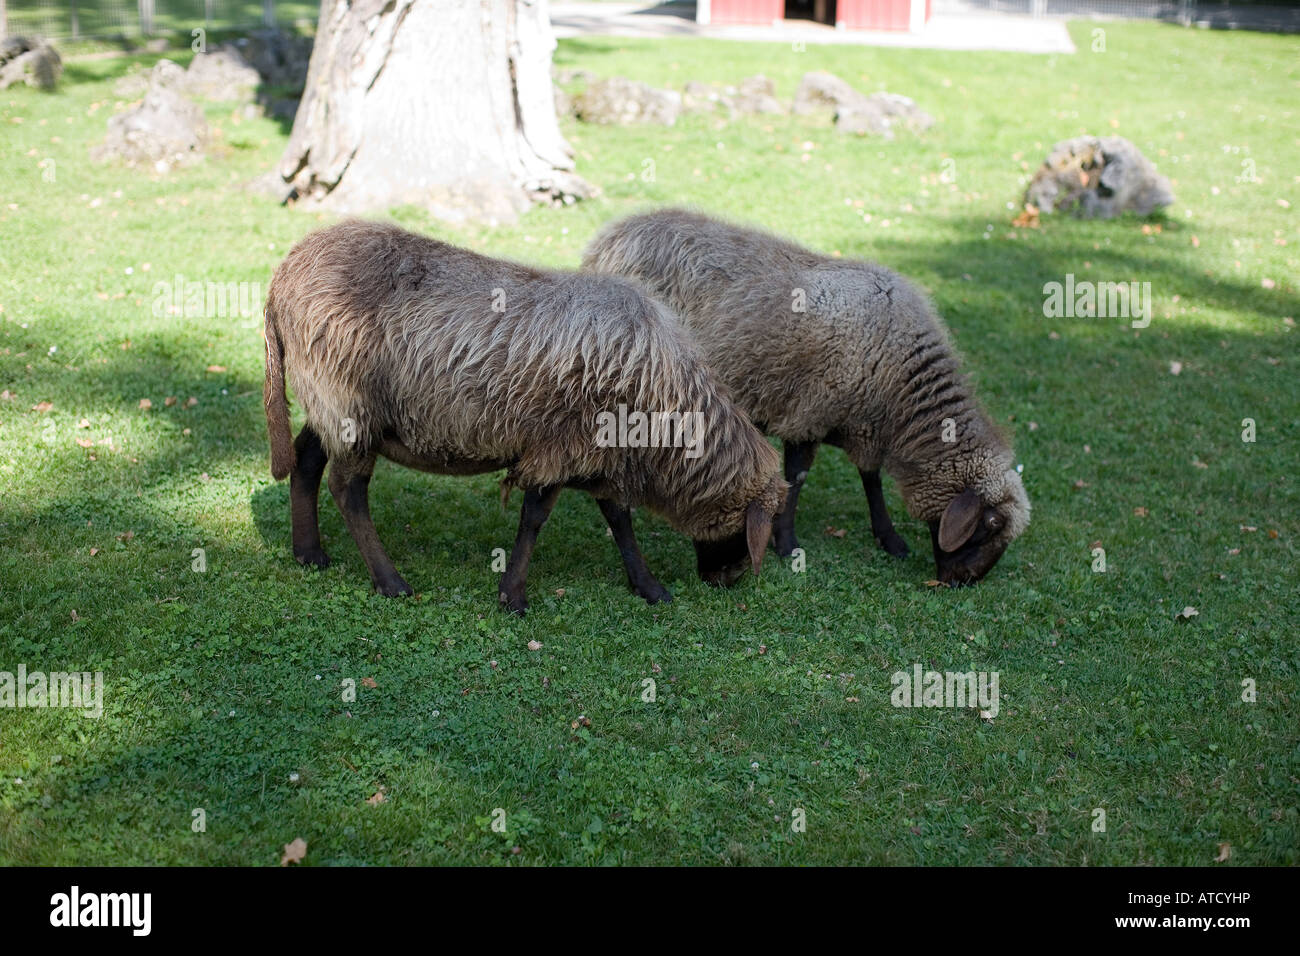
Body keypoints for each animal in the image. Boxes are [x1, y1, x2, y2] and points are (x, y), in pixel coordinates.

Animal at [263, 220, 787, 612]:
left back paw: (309, 553)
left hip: (331, 401)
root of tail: (284, 272)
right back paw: (389, 580)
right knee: (347, 489)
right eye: (746, 533)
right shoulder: (561, 445)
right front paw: (513, 595)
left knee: (307, 460)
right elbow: (535, 519)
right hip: (347, 399)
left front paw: (649, 586)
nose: (725, 580)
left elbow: (618, 518)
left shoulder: (602, 453)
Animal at [582, 208, 1029, 585]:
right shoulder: (810, 412)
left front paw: (888, 538)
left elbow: (870, 478)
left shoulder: (861, 423)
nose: (962, 582)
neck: (903, 380)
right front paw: (786, 543)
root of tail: (610, 234)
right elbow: (797, 476)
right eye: (990, 524)